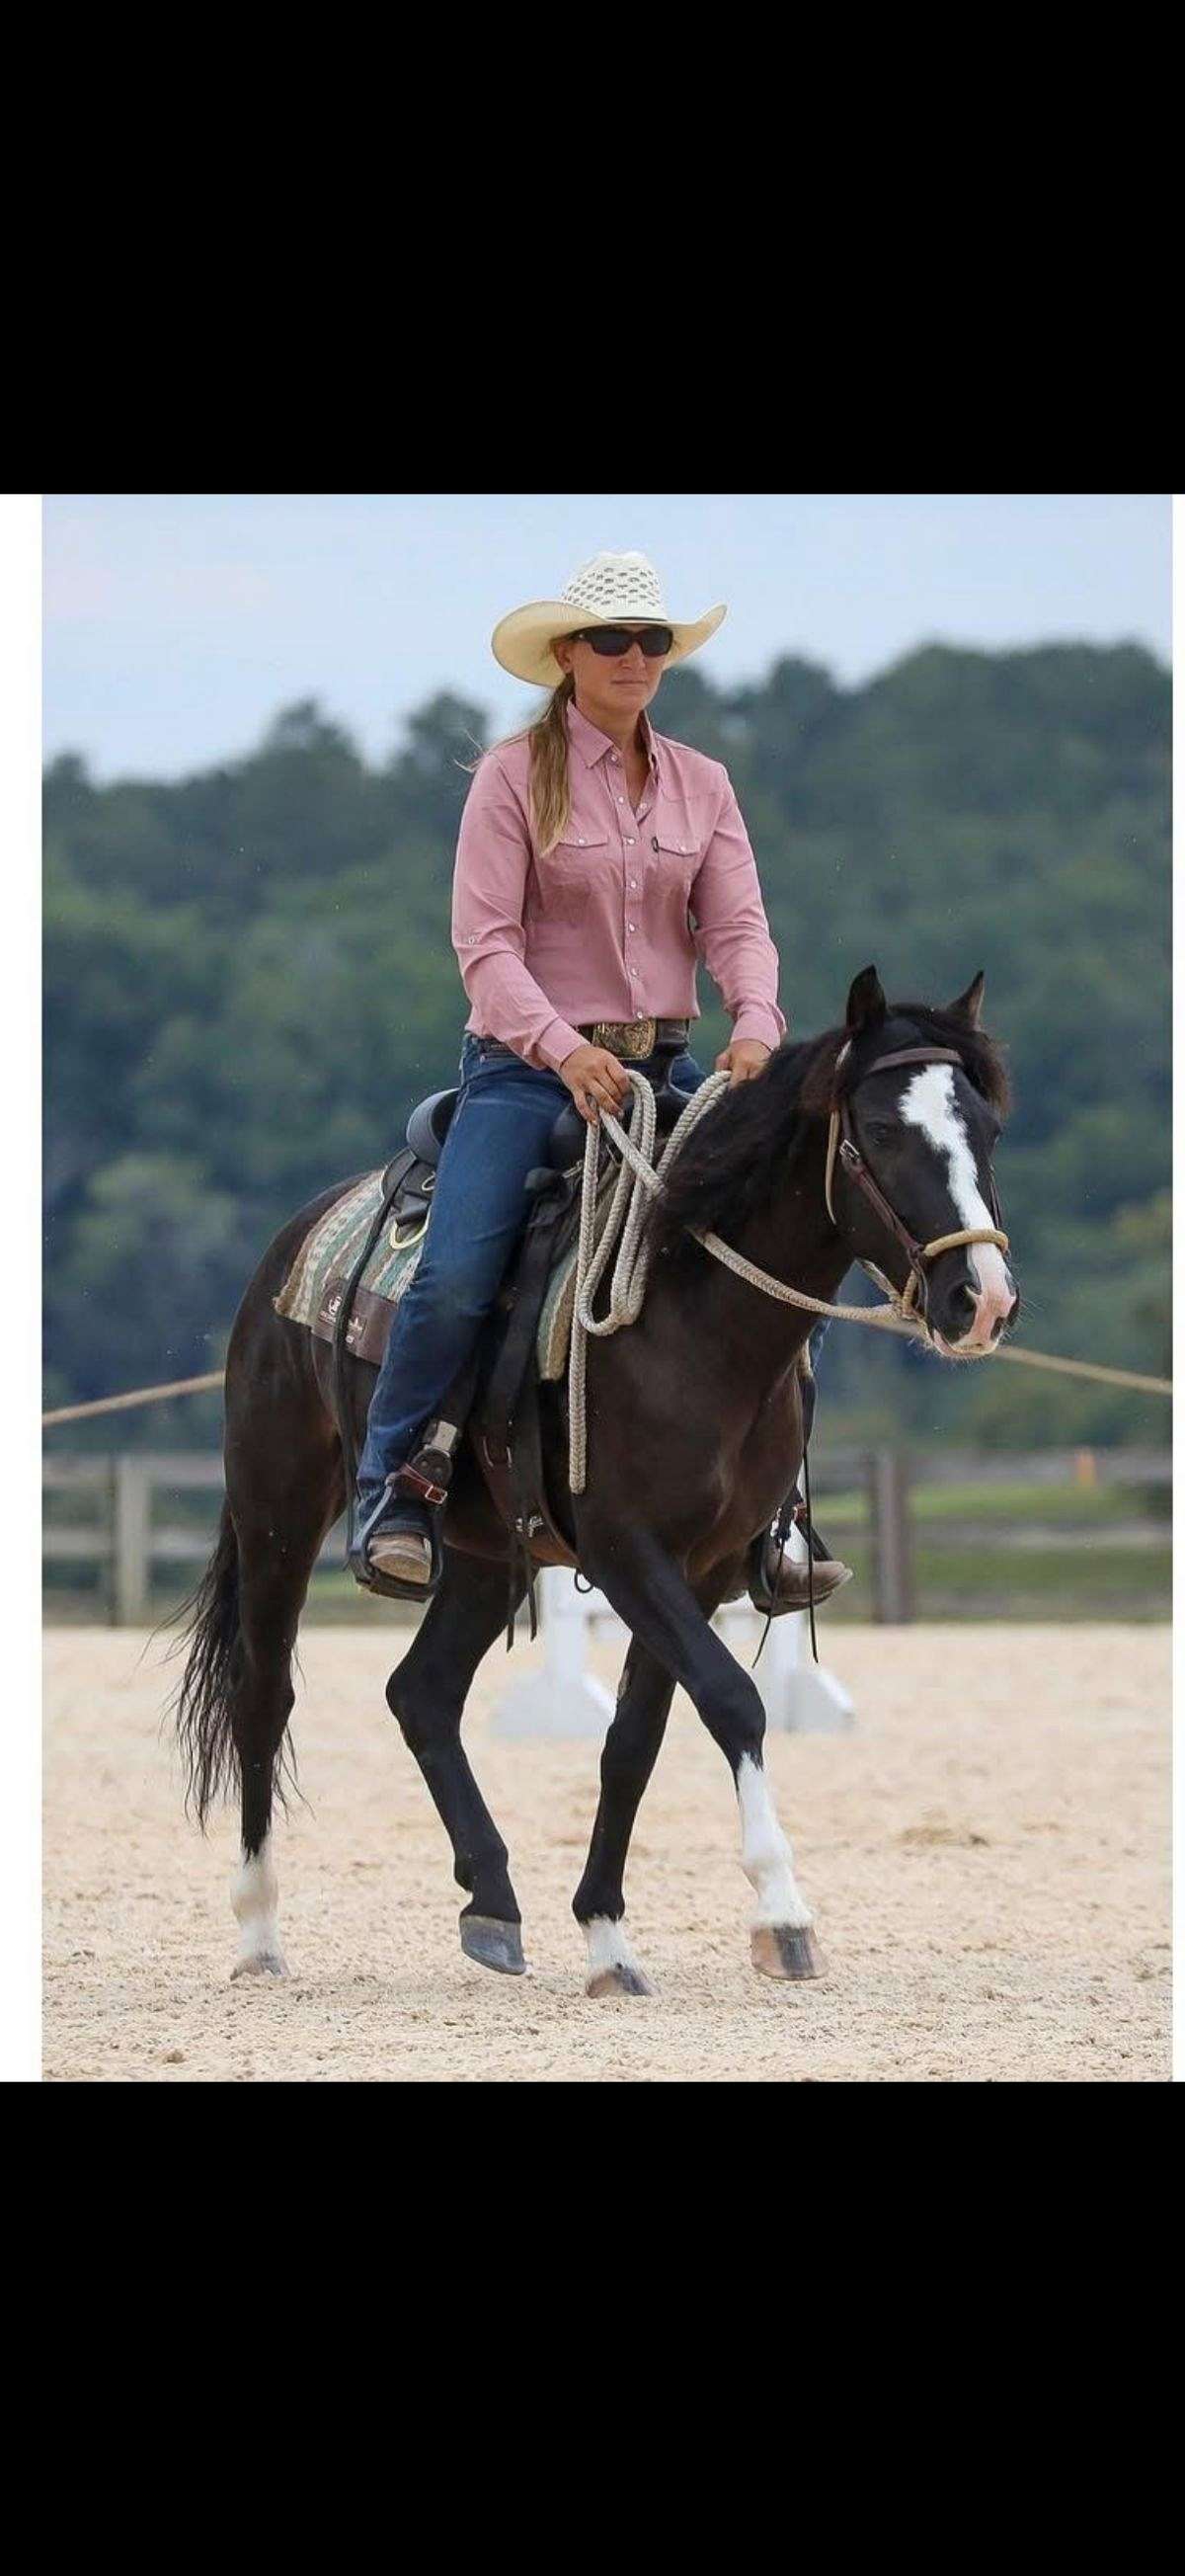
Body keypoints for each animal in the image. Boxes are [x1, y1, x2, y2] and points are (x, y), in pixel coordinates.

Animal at [171, 965, 1017, 1994]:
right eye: (886, 1133)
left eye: (986, 1129)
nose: (983, 1300)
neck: (694, 1313)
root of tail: (289, 1252)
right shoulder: (626, 1550)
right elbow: (731, 1698)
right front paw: (781, 1911)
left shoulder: (703, 1567)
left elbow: (634, 1741)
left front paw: (608, 1937)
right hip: (279, 1513)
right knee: (264, 1696)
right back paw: (259, 1931)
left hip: (484, 1556)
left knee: (421, 1695)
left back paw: (493, 1903)